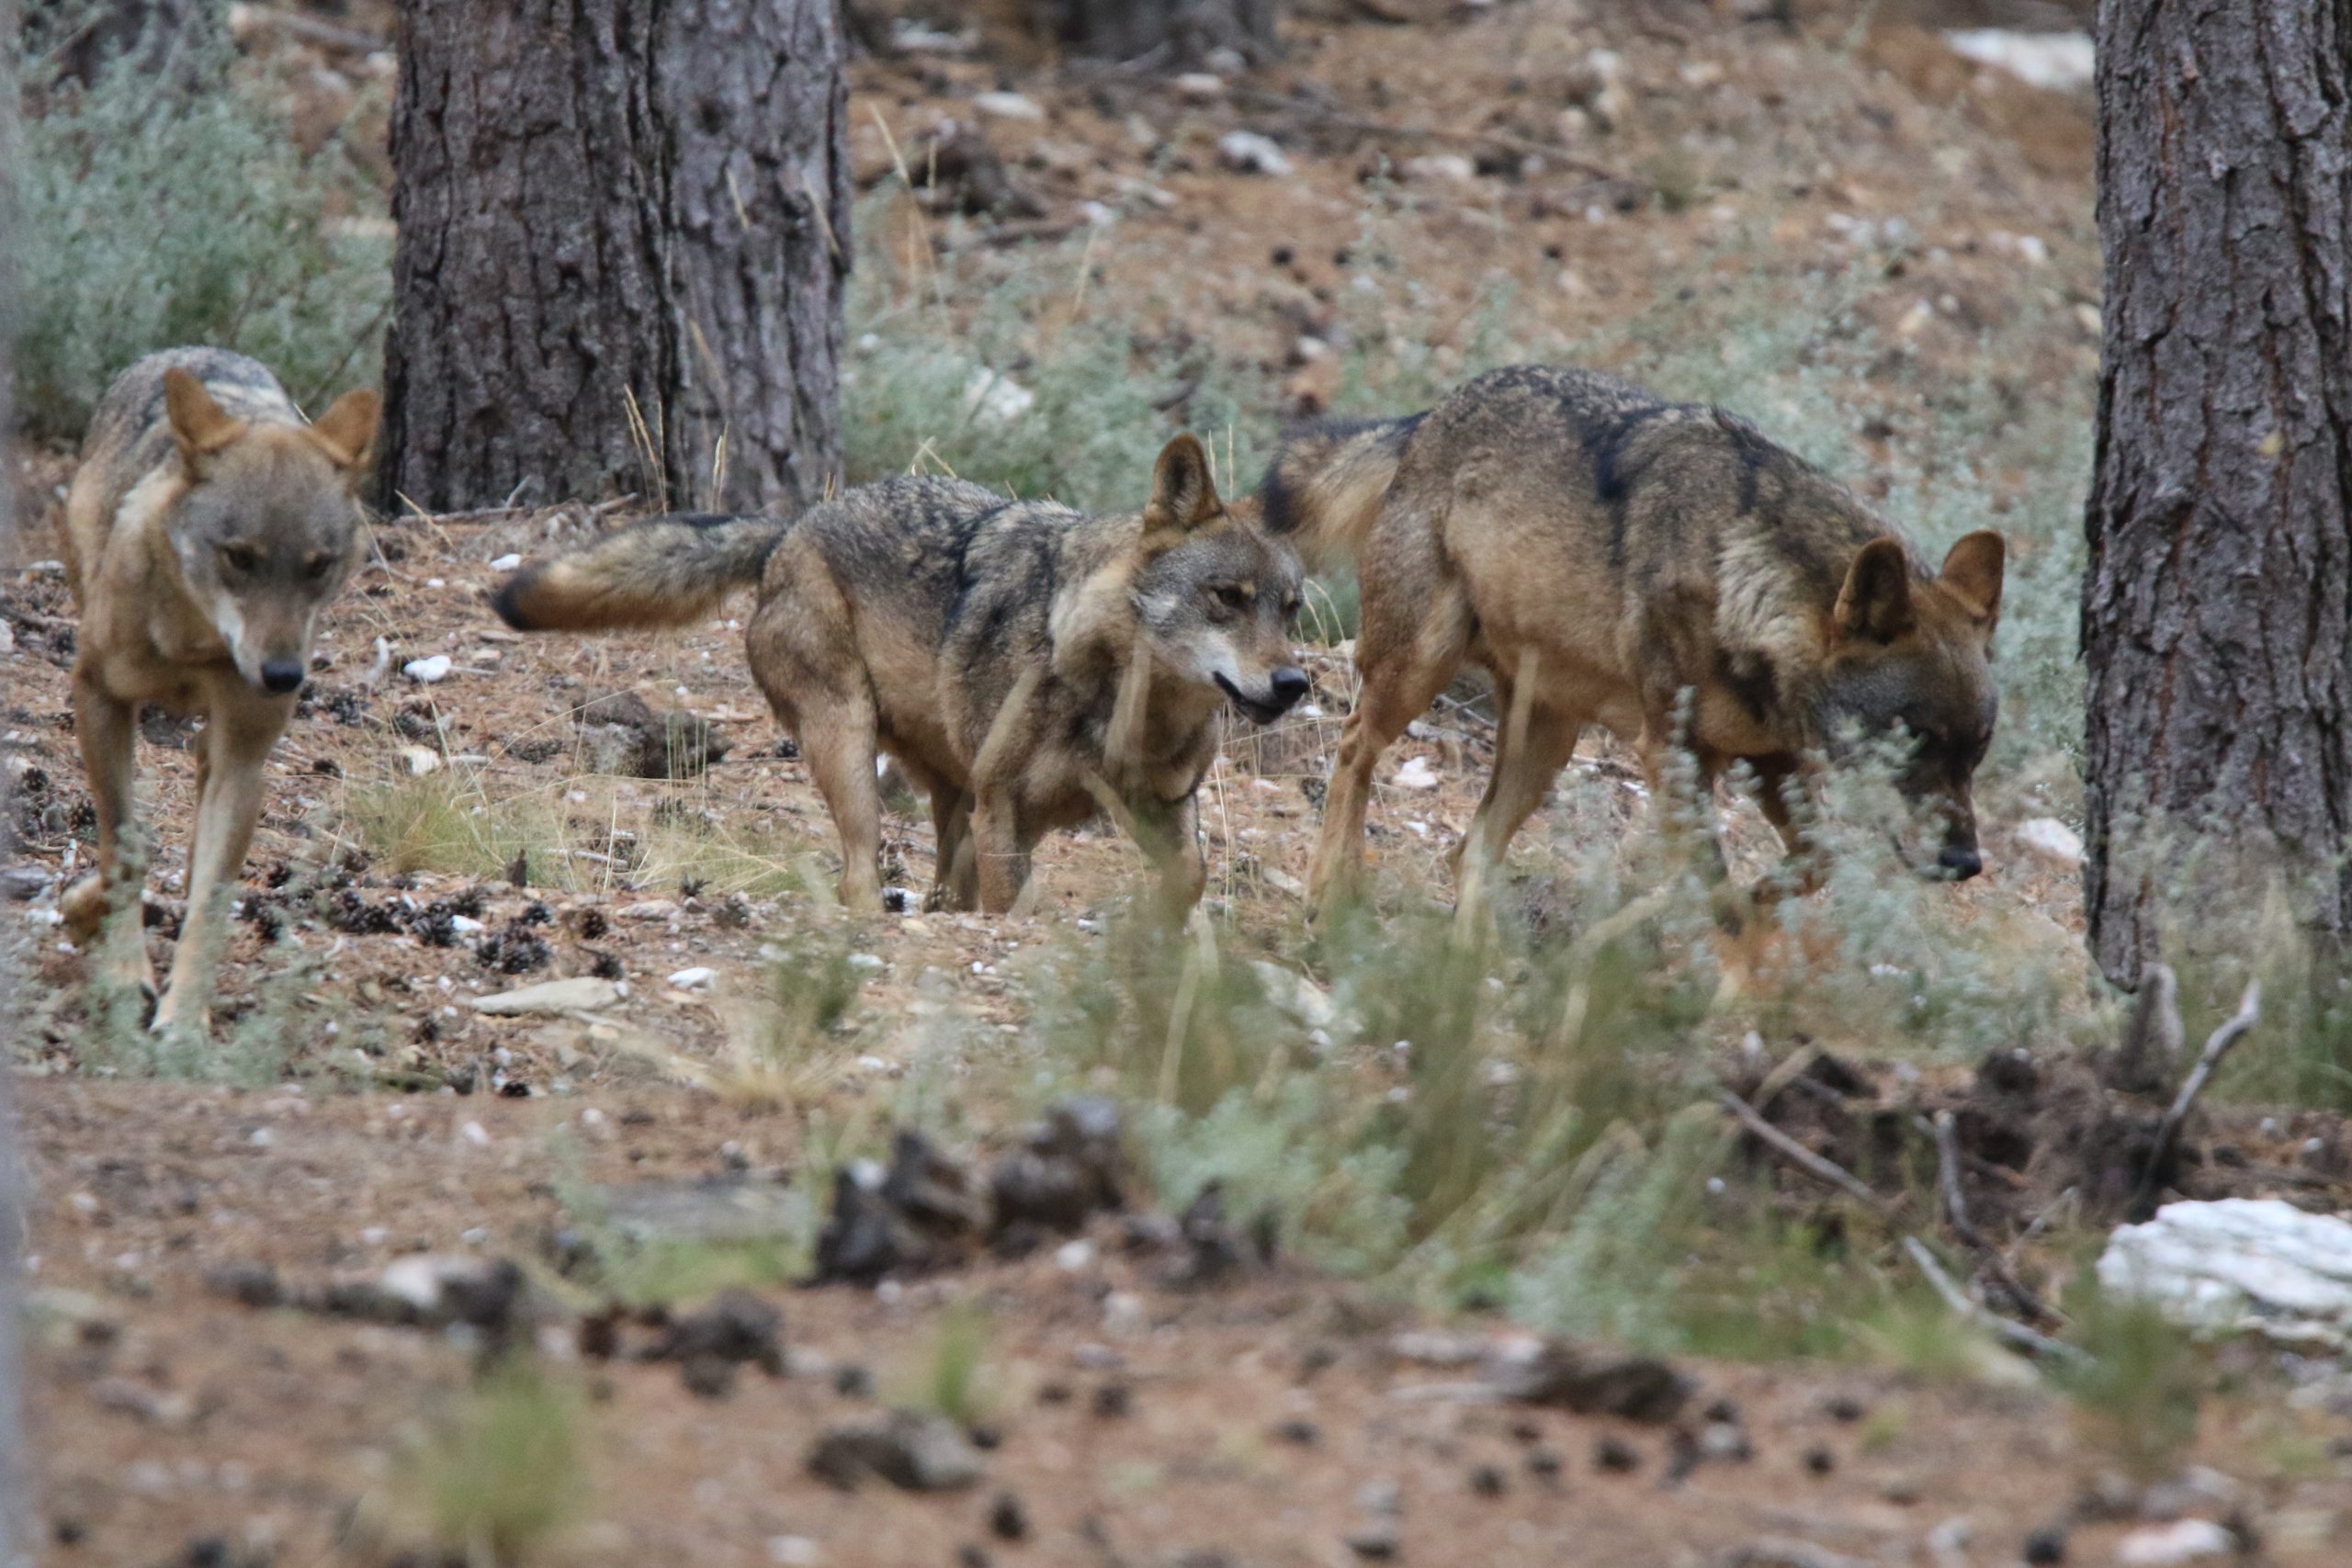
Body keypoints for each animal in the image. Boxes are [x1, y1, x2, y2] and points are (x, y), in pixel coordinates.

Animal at [57, 347, 380, 1030]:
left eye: (318, 565)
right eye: (240, 557)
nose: (283, 676)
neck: (194, 644)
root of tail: (192, 353)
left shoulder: (245, 754)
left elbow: (212, 899)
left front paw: (183, 1022)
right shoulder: (97, 695)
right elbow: (123, 846)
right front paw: (121, 975)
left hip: (232, 749)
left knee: (204, 788)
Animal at [493, 435, 1308, 916]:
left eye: (1292, 609)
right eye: (1227, 597)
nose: (1294, 684)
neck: (1125, 706)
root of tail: (791, 529)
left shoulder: (1165, 806)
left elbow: (1190, 880)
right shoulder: (1005, 810)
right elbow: (1015, 908)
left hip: (952, 799)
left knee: (941, 887)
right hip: (855, 758)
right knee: (860, 878)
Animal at [1258, 365, 2006, 916]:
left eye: (1977, 751)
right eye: (1911, 741)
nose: (1966, 864)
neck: (1743, 575)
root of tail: (1432, 415)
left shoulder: (1771, 763)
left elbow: (1813, 864)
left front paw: (1758, 912)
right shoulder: (1674, 758)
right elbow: (1720, 905)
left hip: (1546, 744)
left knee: (1467, 851)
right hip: (1418, 672)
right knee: (1354, 748)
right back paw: (1331, 894)